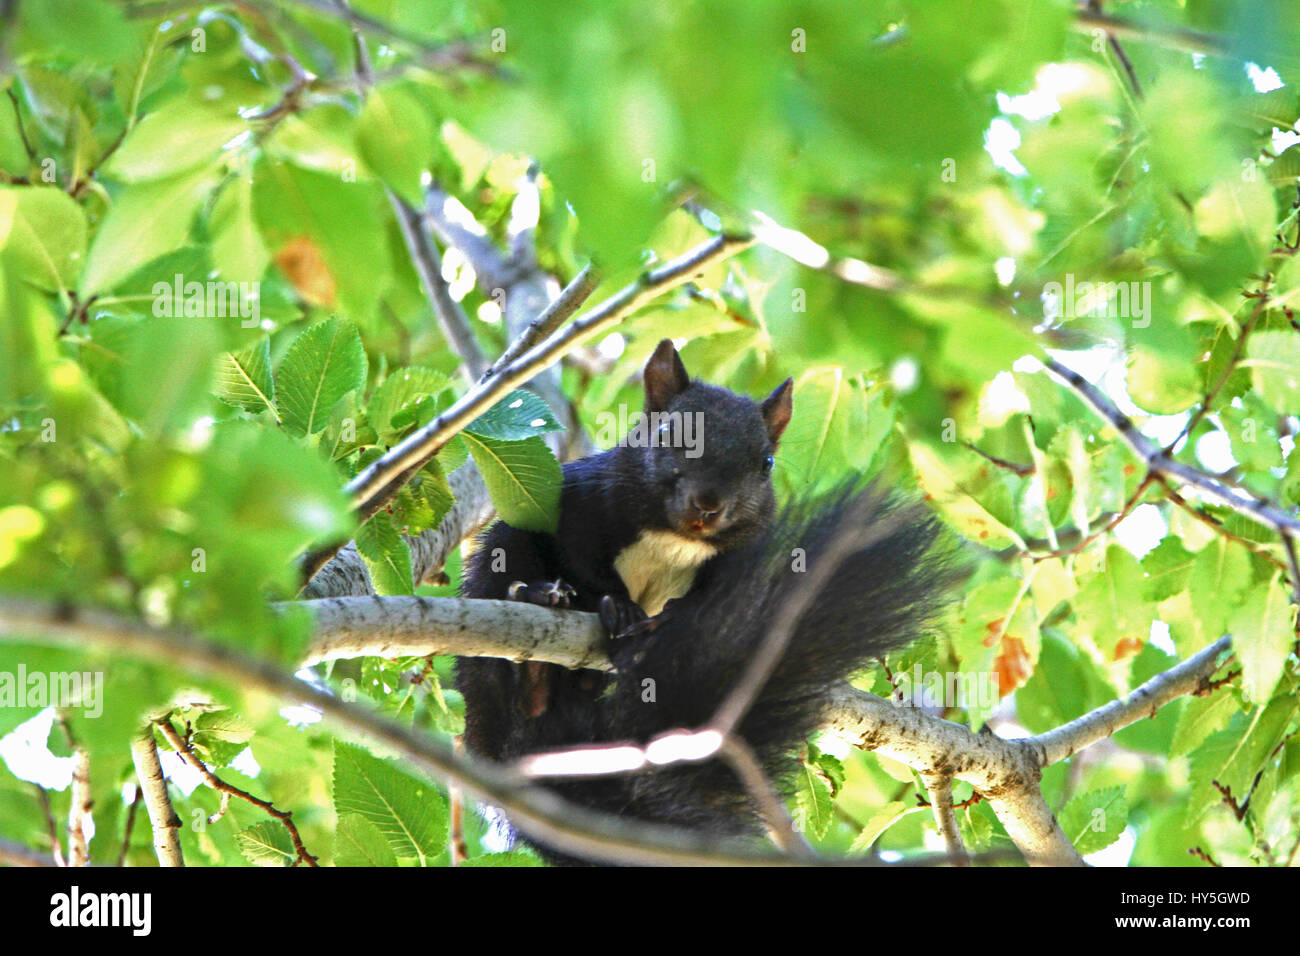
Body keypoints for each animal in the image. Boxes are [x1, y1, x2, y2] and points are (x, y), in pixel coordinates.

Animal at [455, 339, 955, 863]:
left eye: (766, 463)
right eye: (669, 433)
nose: (709, 504)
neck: (675, 538)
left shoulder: (743, 553)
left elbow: (713, 600)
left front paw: (666, 619)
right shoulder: (579, 502)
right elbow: (582, 560)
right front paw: (616, 605)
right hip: (502, 558)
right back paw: (536, 618)